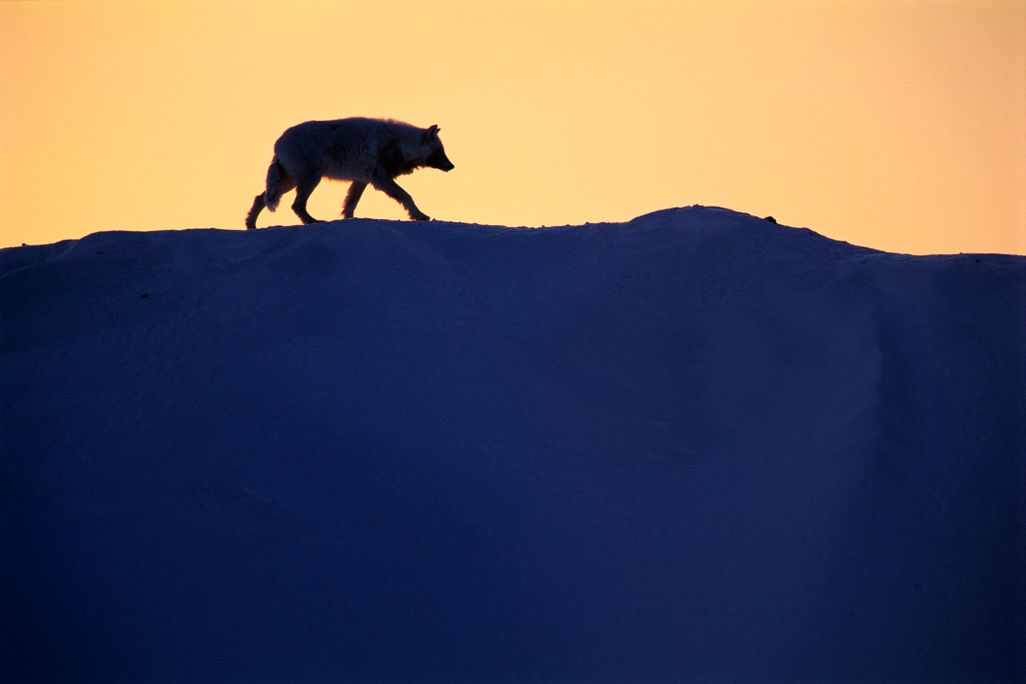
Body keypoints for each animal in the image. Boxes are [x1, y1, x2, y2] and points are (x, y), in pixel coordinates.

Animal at [245, 117, 454, 229]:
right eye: (440, 151)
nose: (452, 166)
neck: (400, 143)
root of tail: (278, 142)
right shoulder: (382, 180)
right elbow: (407, 196)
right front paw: (419, 215)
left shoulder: (361, 180)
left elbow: (350, 204)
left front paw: (349, 219)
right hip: (308, 181)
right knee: (296, 206)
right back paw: (313, 221)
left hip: (289, 183)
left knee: (259, 198)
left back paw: (251, 226)